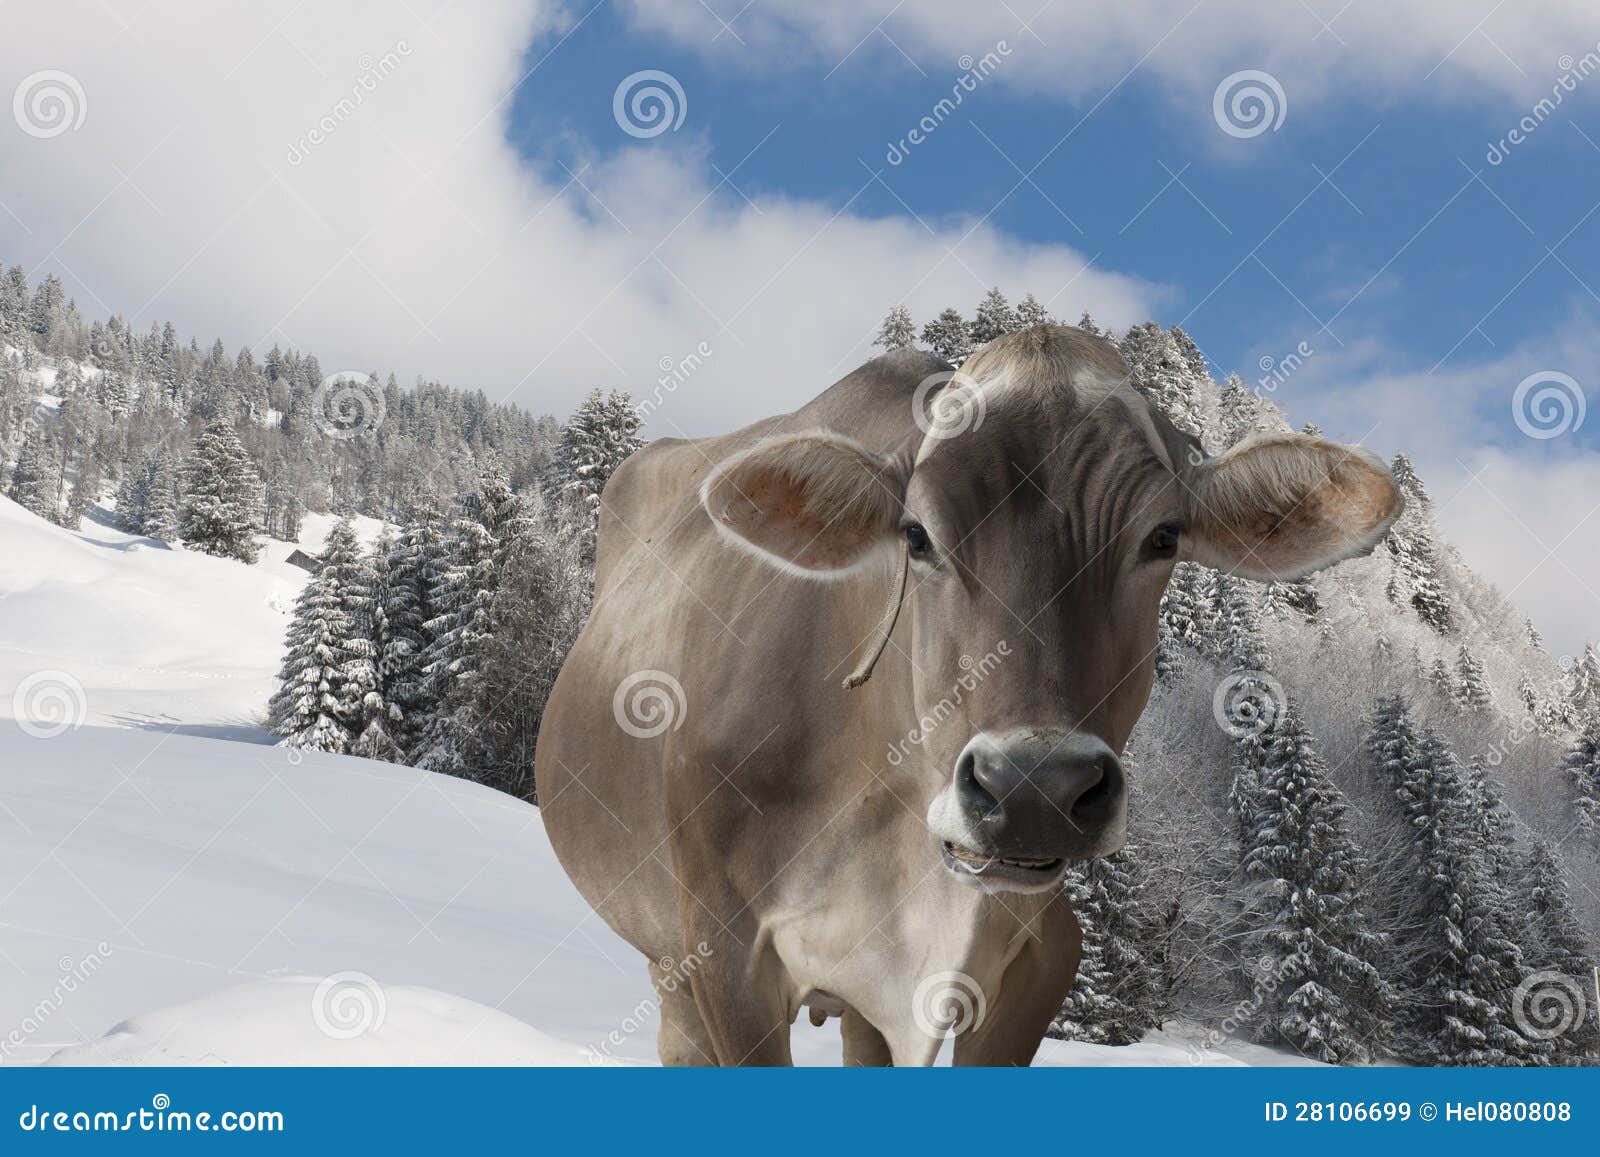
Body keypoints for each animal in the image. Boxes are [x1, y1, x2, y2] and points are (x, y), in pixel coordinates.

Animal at [534, 325, 1401, 1066]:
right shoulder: (724, 951)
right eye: (916, 535)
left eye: (1162, 538)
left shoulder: (1039, 955)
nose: (1034, 788)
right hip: (669, 961)